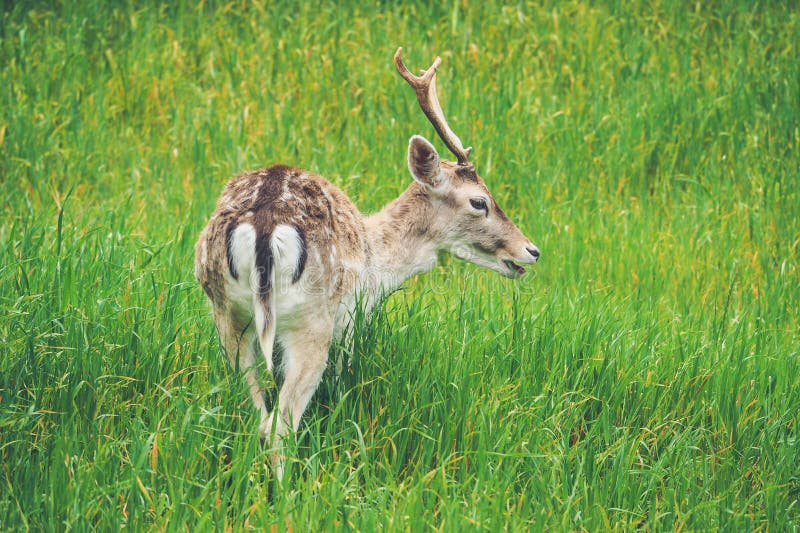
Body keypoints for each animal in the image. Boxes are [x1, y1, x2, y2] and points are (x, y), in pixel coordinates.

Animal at [194, 48, 540, 476]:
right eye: (480, 202)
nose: (530, 250)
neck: (377, 261)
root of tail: (263, 225)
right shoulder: (350, 321)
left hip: (225, 312)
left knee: (251, 413)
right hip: (311, 321)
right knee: (278, 425)